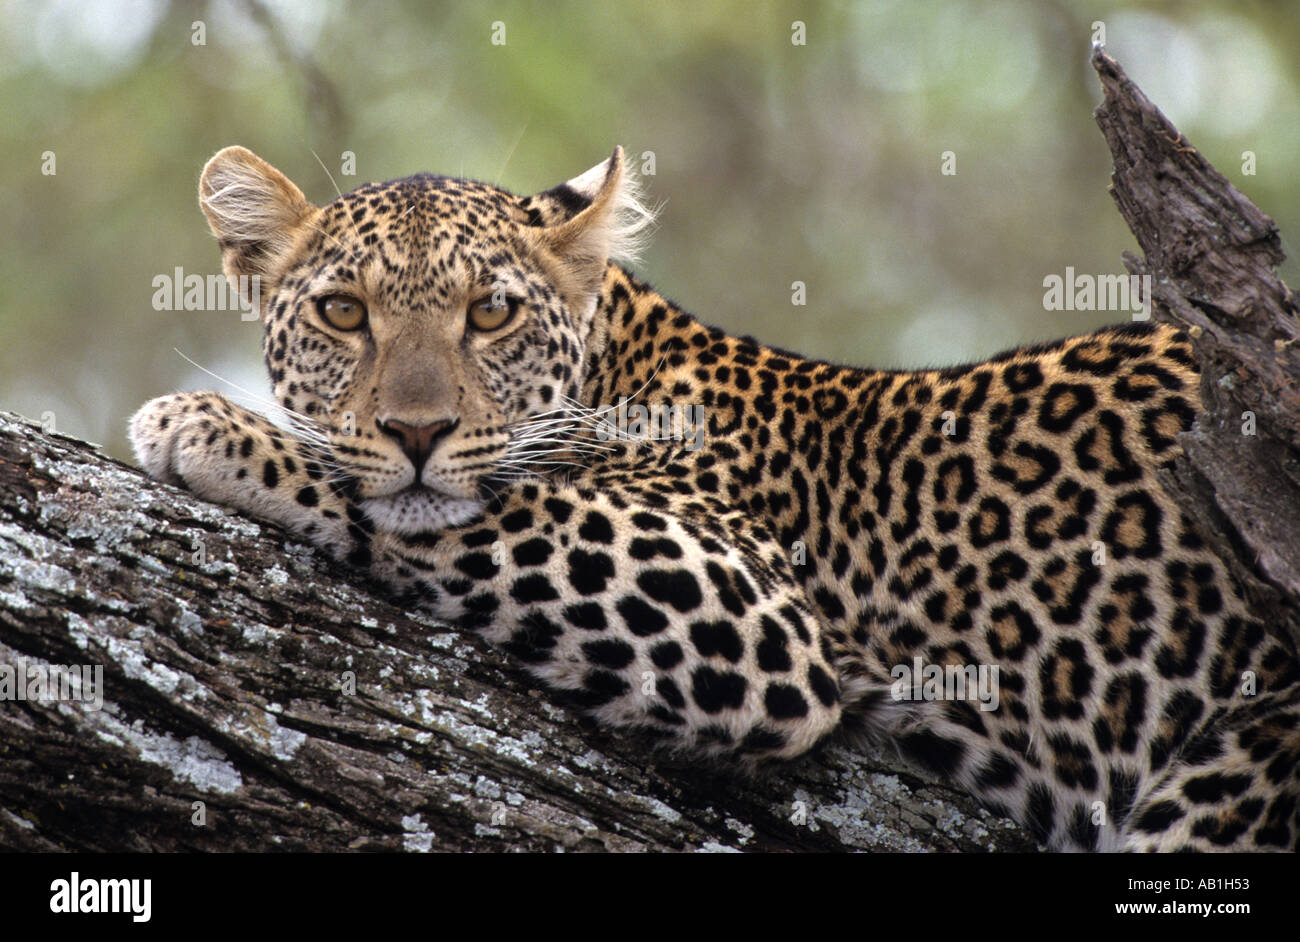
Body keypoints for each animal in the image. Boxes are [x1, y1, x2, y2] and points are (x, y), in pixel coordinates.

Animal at [130, 144, 1300, 852]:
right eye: (342, 312)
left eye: (491, 313)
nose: (418, 433)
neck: (622, 358)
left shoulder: (748, 609)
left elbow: (474, 508)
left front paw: (209, 428)